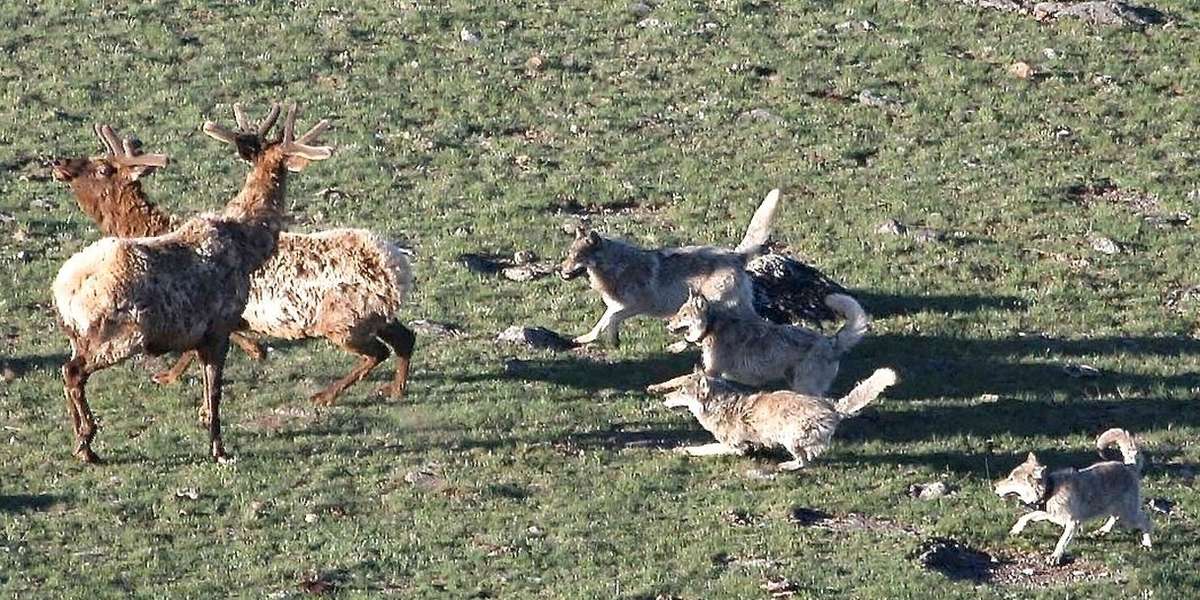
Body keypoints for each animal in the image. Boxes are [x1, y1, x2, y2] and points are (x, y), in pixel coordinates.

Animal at [559, 189, 781, 346]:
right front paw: (596, 340)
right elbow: (601, 325)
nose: (561, 271)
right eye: (569, 255)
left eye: (577, 257)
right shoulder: (615, 306)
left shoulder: (634, 307)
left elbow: (610, 320)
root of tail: (736, 255)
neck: (615, 267)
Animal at [648, 290, 868, 396]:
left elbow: (680, 379)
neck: (712, 327)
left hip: (804, 386)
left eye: (683, 315)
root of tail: (831, 341)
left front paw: (659, 388)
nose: (667, 325)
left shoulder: (711, 372)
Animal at [662, 367, 897, 470]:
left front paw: (684, 450)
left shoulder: (734, 447)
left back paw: (787, 465)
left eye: (681, 391)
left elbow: (703, 448)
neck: (720, 404)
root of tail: (832, 406)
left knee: (804, 460)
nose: (664, 398)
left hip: (790, 437)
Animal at [995, 428, 1152, 566]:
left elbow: (1062, 541)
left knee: (1145, 521)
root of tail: (1129, 466)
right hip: (1115, 507)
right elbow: (1027, 516)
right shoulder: (1049, 514)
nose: (995, 486)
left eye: (1011, 479)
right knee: (1115, 517)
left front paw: (1055, 557)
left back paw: (1147, 543)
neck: (1051, 490)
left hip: (1129, 514)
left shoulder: (1072, 523)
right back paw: (1102, 531)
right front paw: (1016, 529)